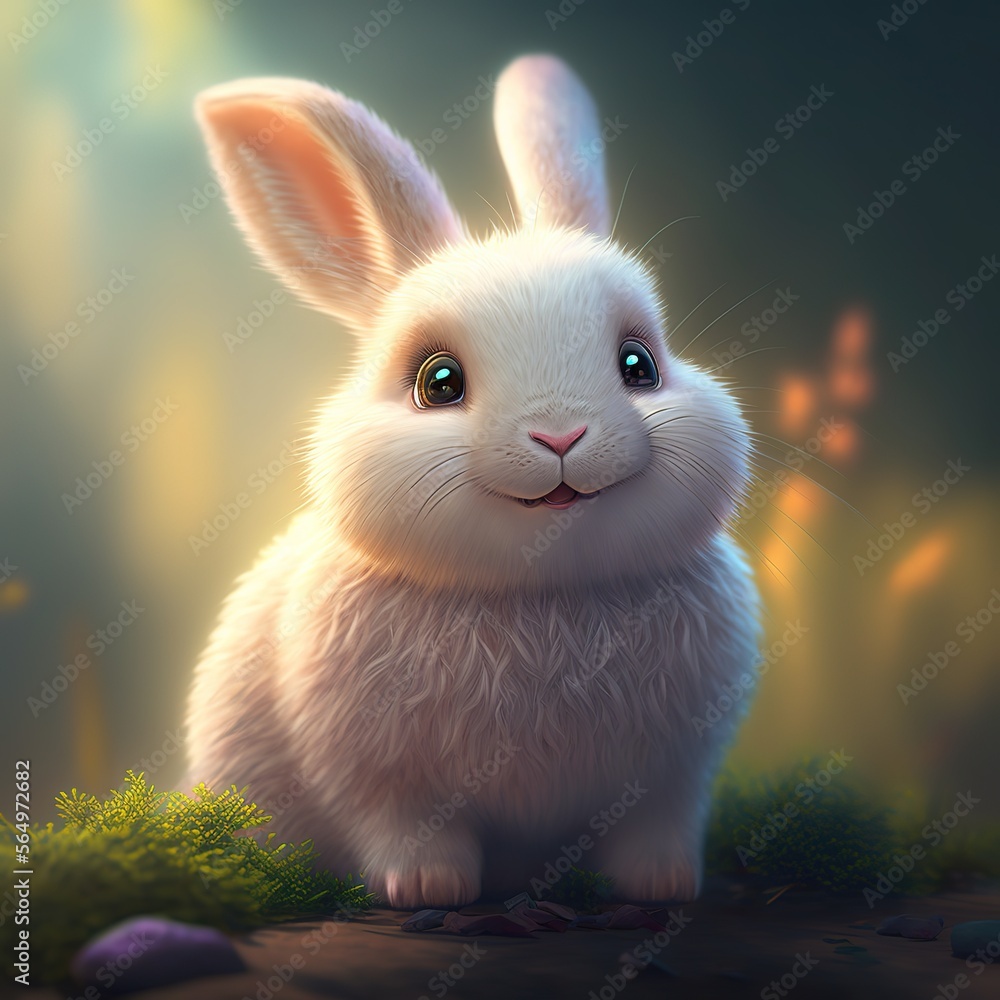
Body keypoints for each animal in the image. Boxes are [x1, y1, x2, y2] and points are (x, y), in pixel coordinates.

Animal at [185, 53, 760, 909]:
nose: (560, 434)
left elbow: (652, 825)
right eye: (439, 381)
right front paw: (427, 888)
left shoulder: (676, 771)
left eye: (638, 365)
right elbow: (403, 827)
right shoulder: (374, 773)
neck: (543, 594)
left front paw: (661, 884)